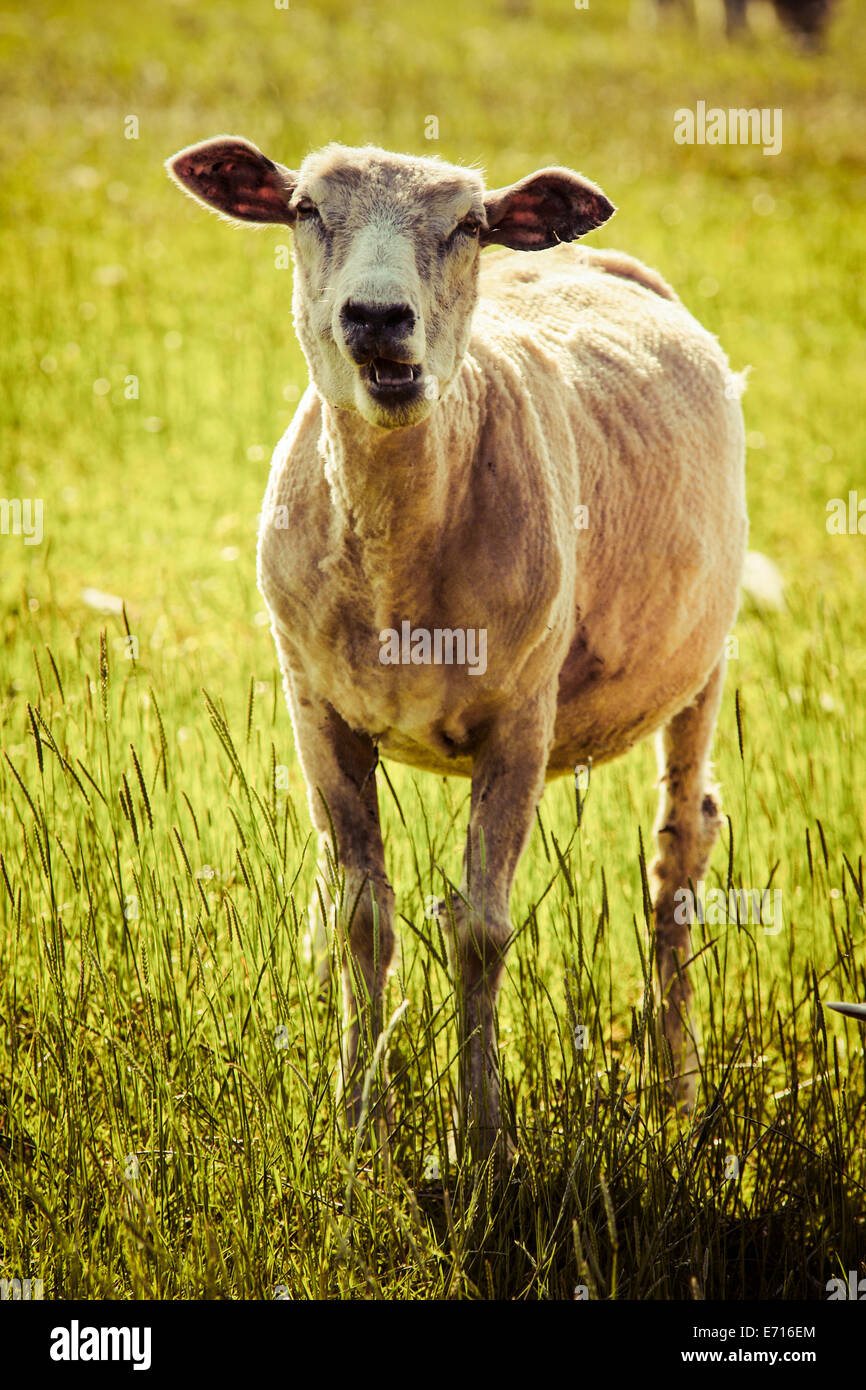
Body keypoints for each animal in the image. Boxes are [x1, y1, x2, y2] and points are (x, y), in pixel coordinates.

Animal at [167, 136, 748, 1161]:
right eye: (305, 209)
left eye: (470, 225)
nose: (376, 316)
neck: (397, 556)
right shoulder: (316, 710)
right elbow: (362, 920)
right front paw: (359, 1118)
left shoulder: (520, 717)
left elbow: (479, 932)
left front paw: (480, 1136)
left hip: (702, 663)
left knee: (680, 857)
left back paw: (676, 1092)